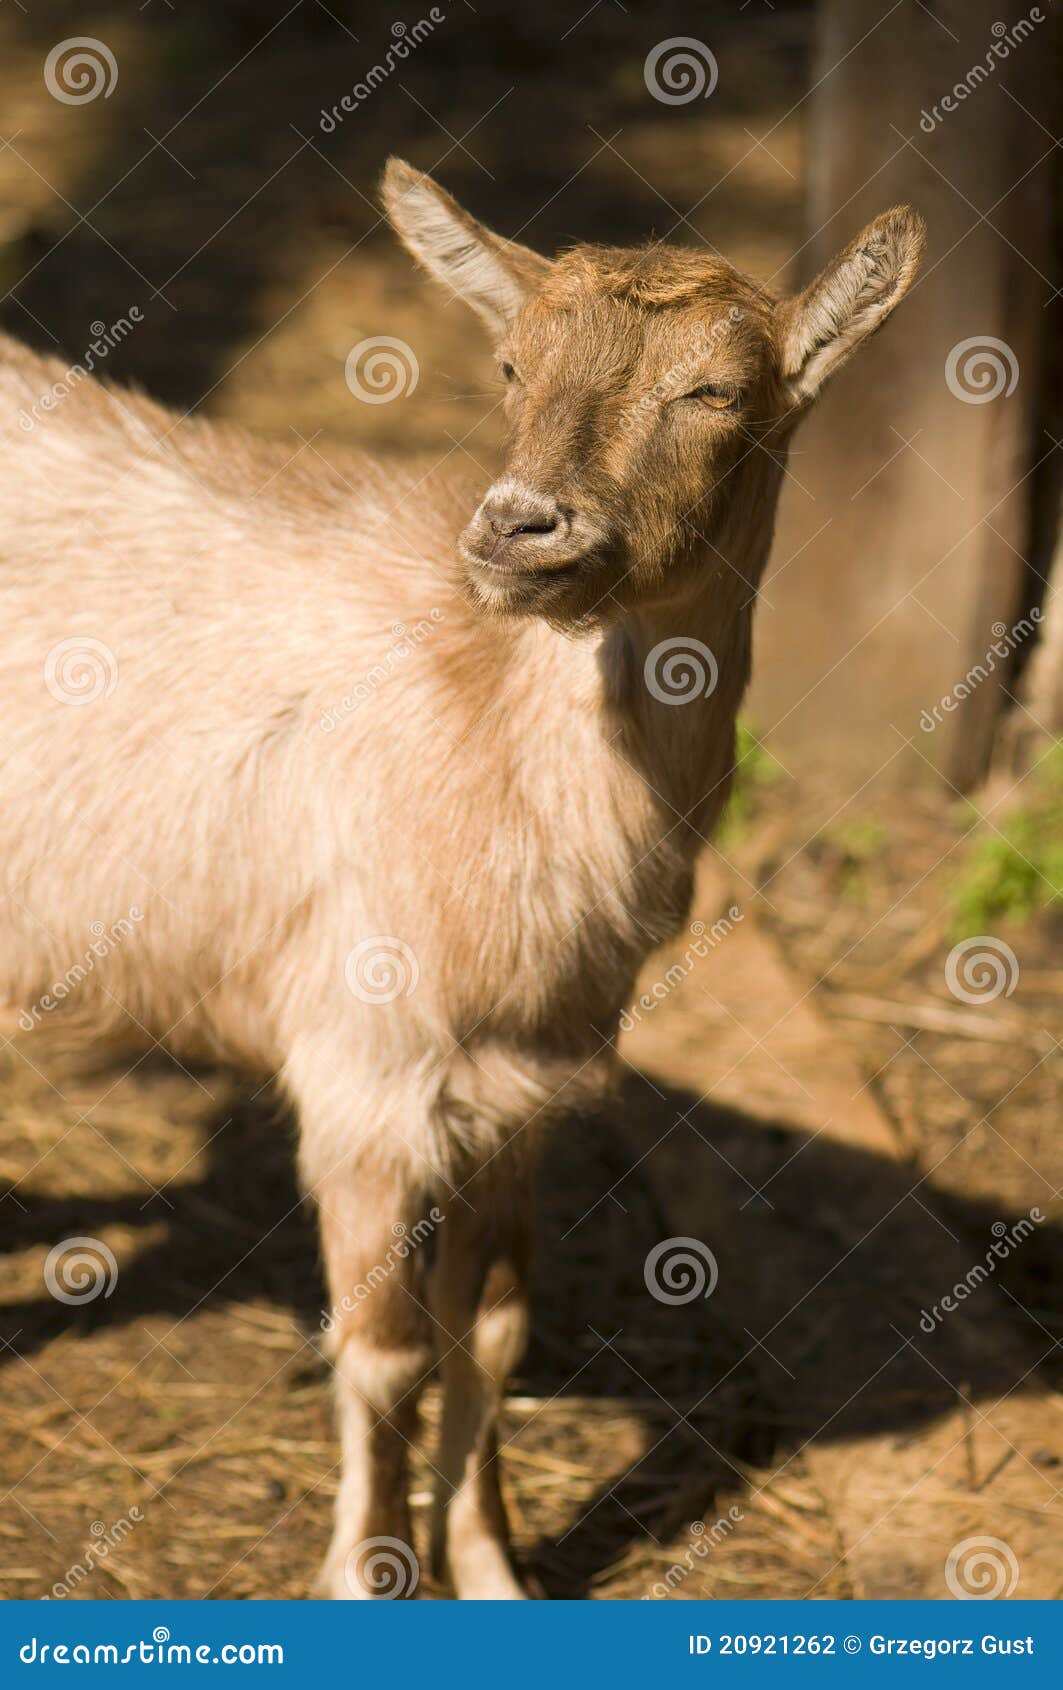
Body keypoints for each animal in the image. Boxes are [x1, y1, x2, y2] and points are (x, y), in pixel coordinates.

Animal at [0, 160, 923, 1598]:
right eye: (507, 364)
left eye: (717, 391)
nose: (516, 529)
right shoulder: (363, 1077)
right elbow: (383, 1353)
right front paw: (368, 1573)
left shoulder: (522, 1088)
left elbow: (488, 1333)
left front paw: (491, 1566)